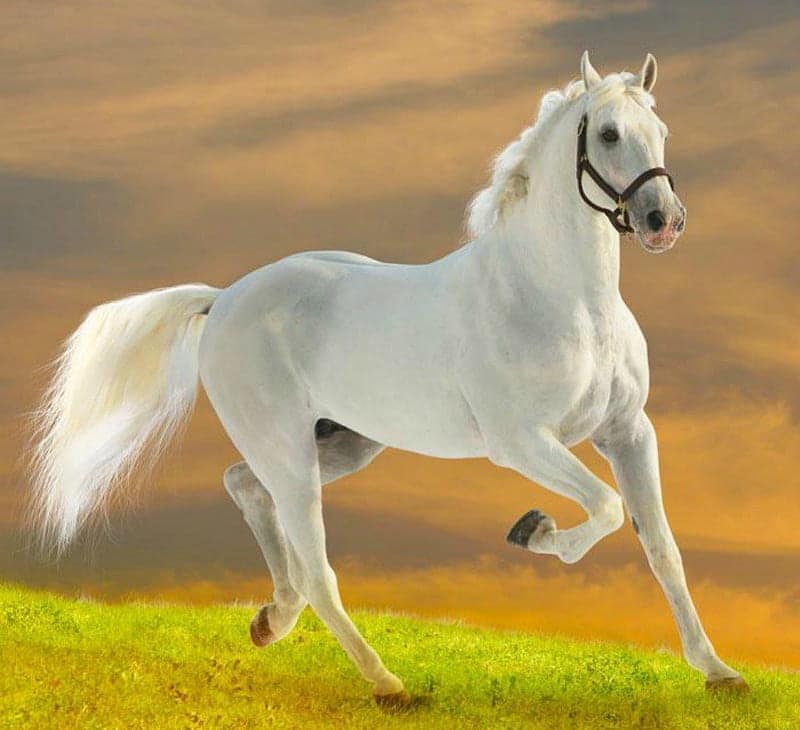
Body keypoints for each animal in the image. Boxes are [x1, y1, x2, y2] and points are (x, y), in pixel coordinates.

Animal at [28, 52, 748, 705]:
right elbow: (604, 509)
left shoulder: (628, 433)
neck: (561, 298)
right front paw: (533, 530)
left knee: (245, 488)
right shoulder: (521, 442)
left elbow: (662, 548)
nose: (664, 221)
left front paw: (720, 674)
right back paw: (386, 683)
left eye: (661, 130)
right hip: (287, 449)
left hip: (342, 443)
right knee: (318, 568)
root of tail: (226, 297)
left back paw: (270, 620)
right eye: (607, 134)